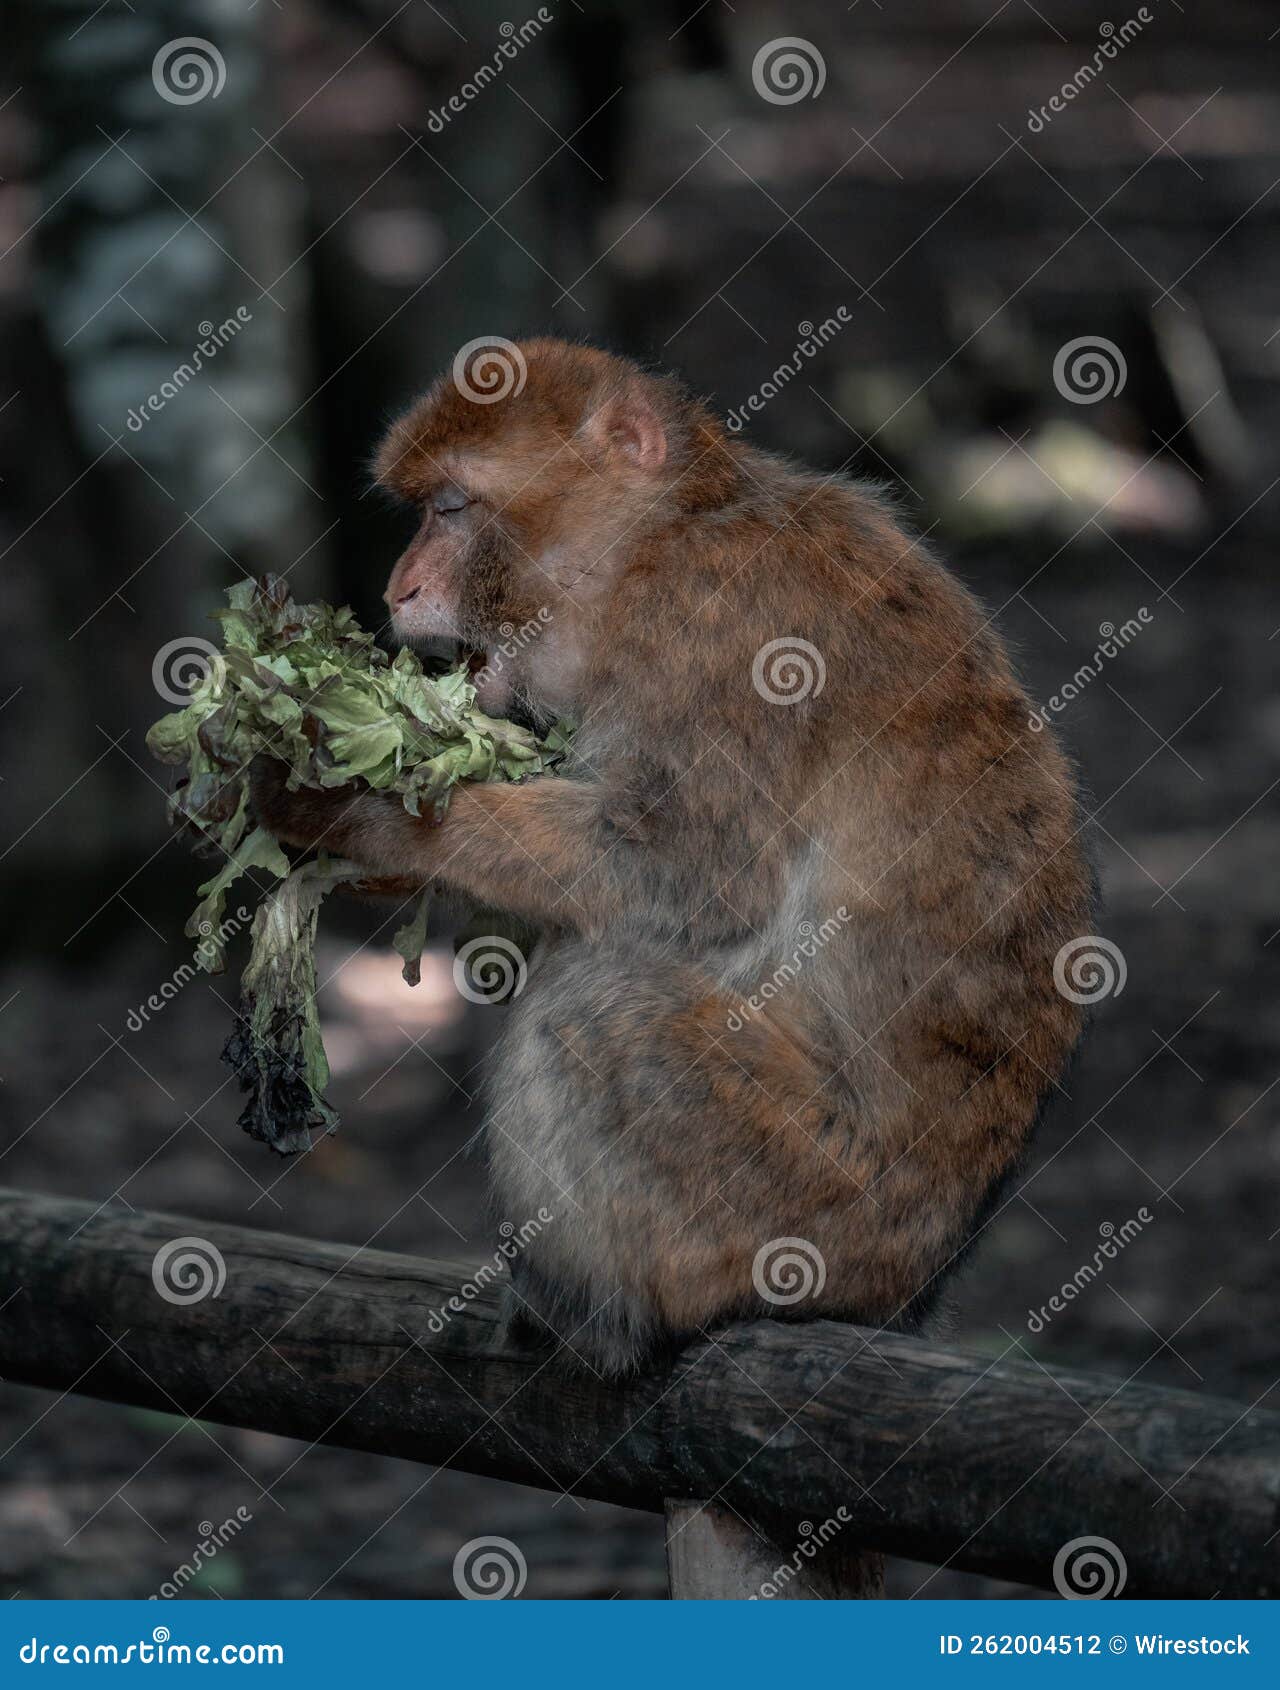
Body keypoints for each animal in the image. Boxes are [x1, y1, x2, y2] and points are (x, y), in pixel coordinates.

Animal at [252, 337, 1094, 1376]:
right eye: (421, 510)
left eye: (450, 507)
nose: (397, 589)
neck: (658, 540)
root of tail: (902, 1291)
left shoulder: (714, 629)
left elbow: (689, 876)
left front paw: (350, 802)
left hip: (800, 1206)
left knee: (598, 1007)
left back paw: (601, 1313)